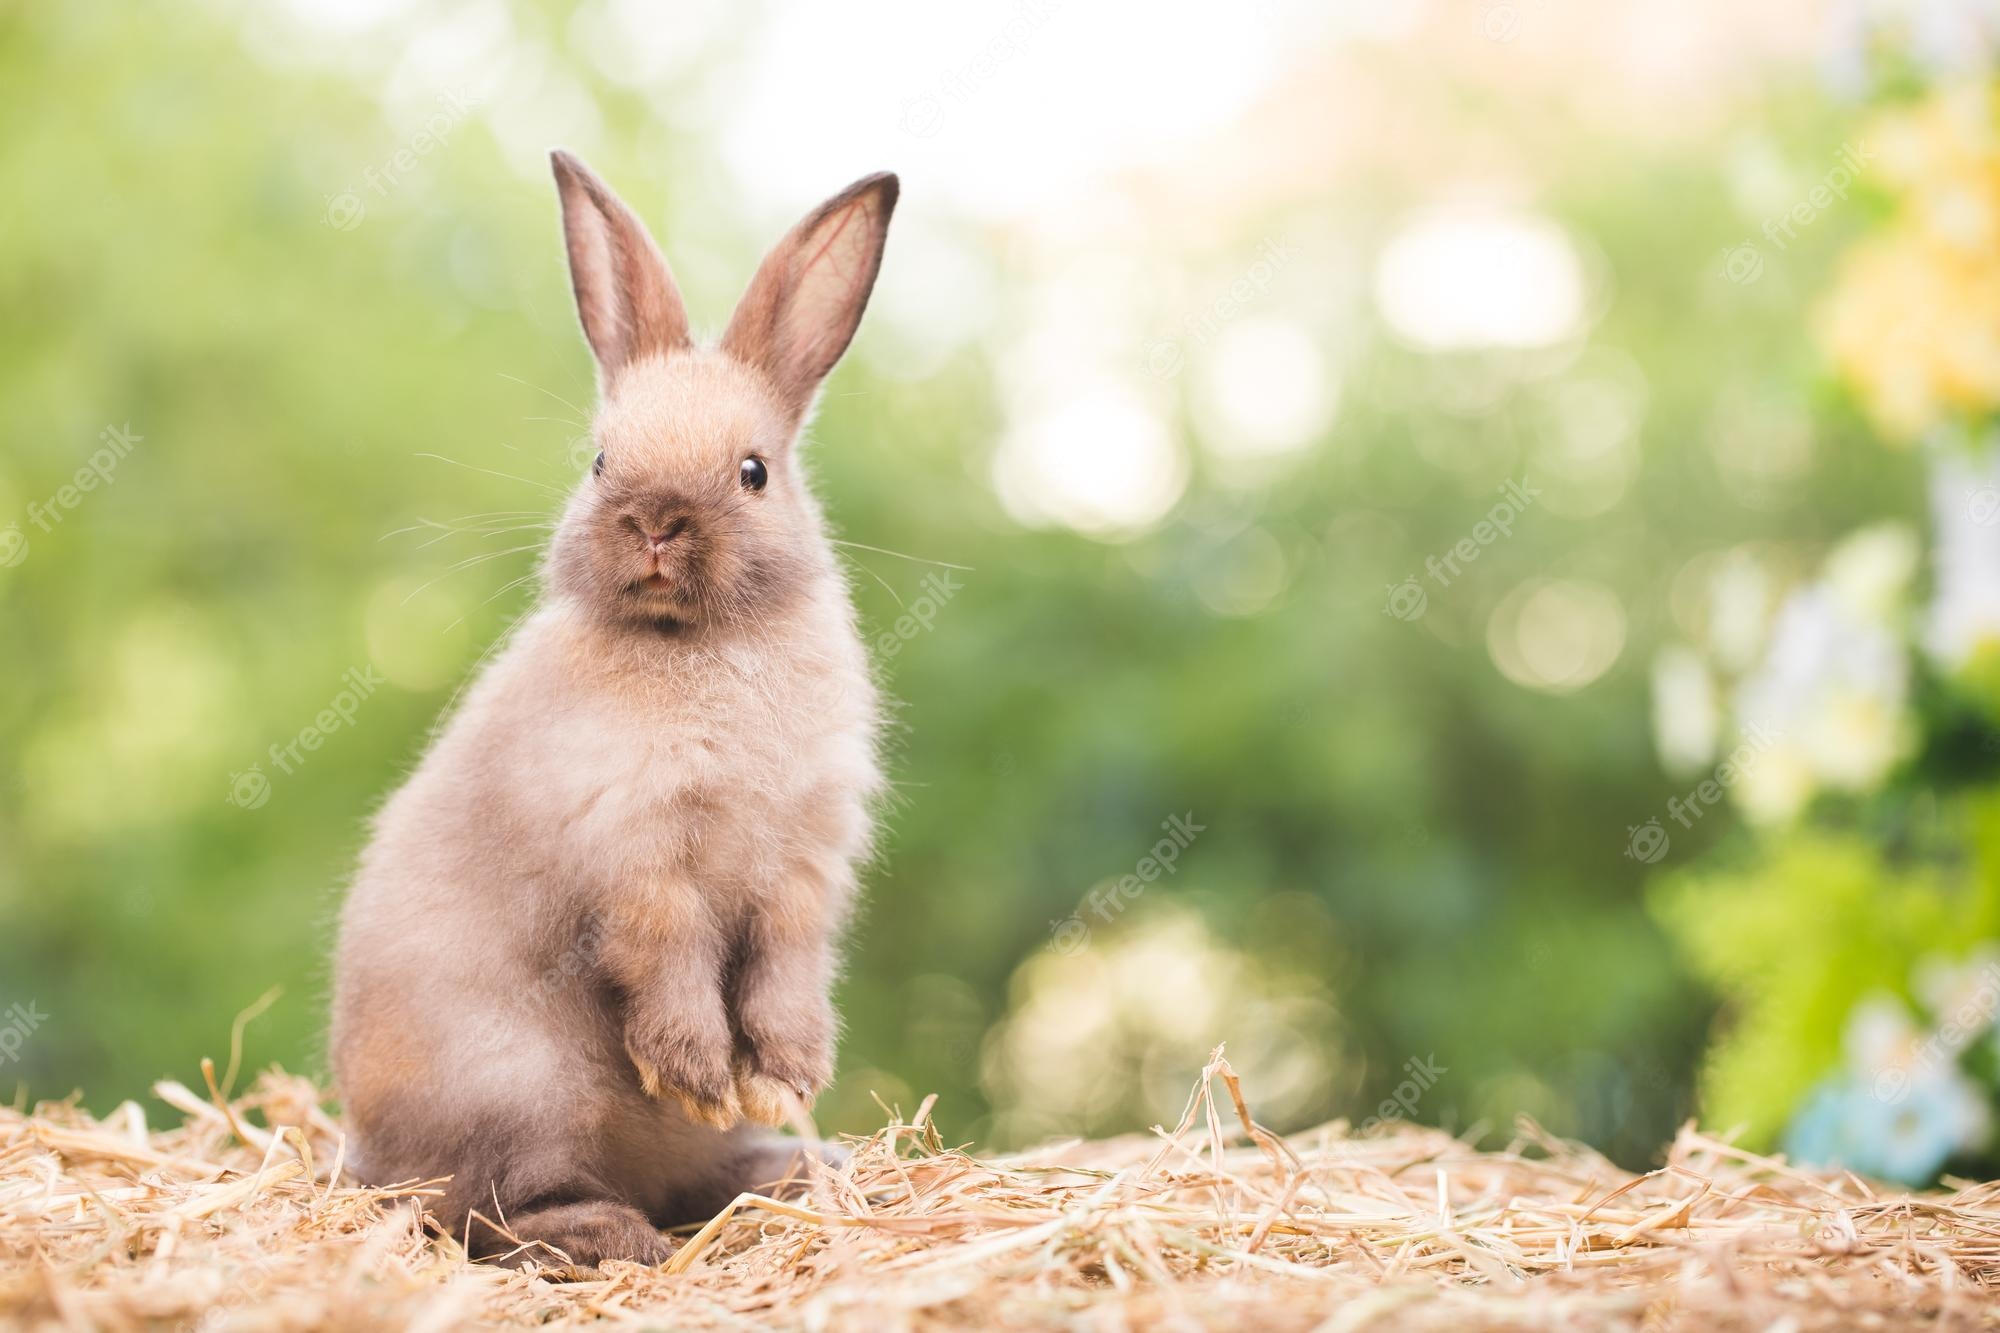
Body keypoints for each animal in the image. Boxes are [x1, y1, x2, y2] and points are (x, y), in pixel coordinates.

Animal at [330, 150, 896, 1270]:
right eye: (598, 460)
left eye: (754, 471)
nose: (654, 521)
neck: (699, 643)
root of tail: (378, 1155)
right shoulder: (638, 859)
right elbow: (669, 967)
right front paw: (700, 1072)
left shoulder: (802, 868)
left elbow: (786, 971)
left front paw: (781, 1078)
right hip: (520, 1092)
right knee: (489, 1208)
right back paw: (608, 1234)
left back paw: (793, 1167)